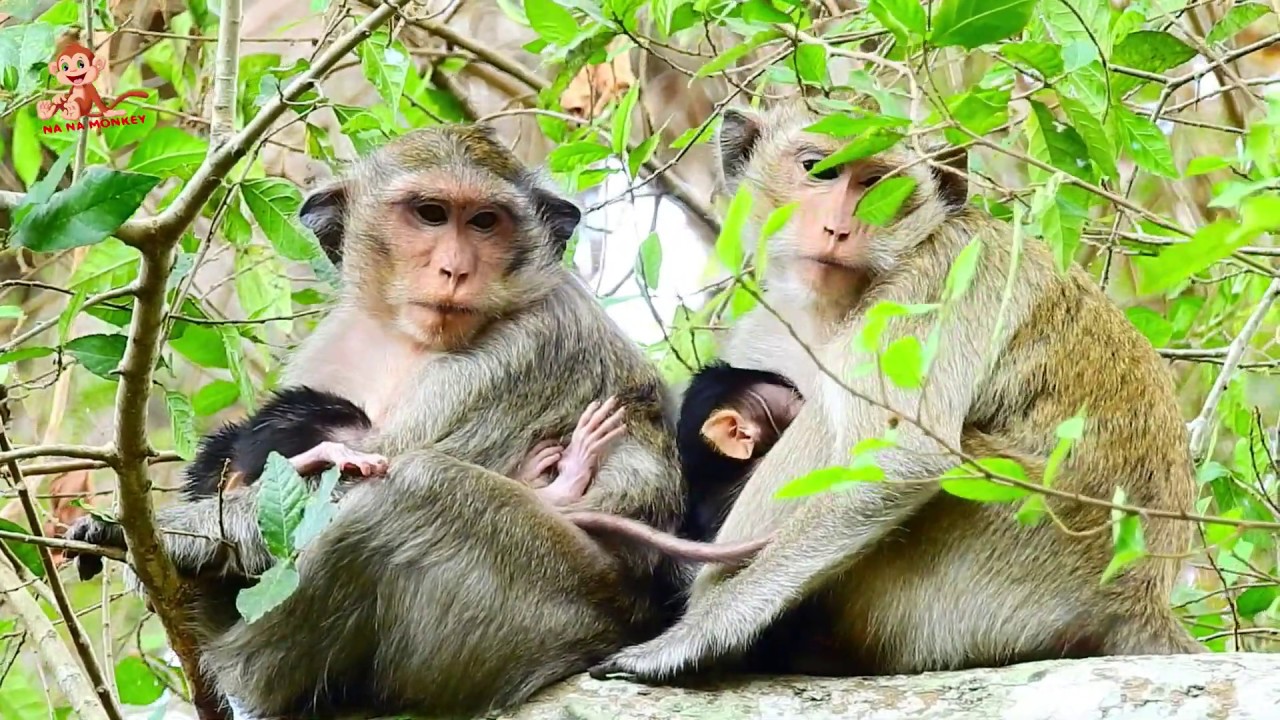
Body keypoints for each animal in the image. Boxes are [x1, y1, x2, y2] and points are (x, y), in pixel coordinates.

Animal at [66, 124, 691, 719]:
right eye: (431, 213)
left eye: (485, 222)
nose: (454, 269)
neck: (408, 340)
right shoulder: (337, 341)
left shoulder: (528, 349)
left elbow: (348, 486)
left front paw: (170, 534)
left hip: (546, 610)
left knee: (414, 489)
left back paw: (249, 671)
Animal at [590, 99, 1202, 683]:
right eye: (818, 171)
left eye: (878, 184)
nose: (839, 228)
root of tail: (1139, 599)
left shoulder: (937, 274)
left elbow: (903, 456)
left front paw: (698, 635)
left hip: (1013, 551)